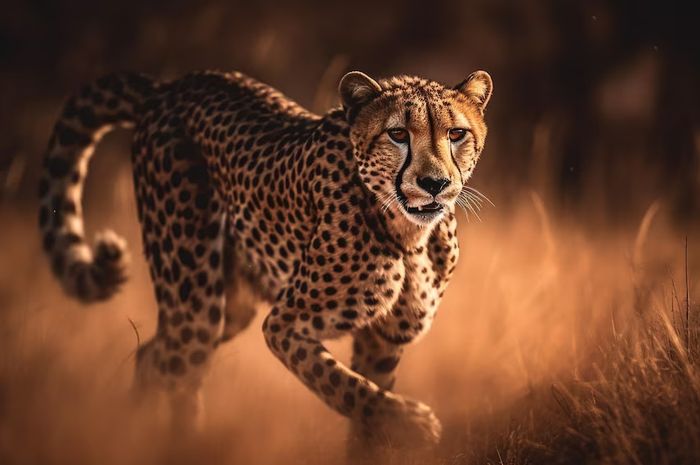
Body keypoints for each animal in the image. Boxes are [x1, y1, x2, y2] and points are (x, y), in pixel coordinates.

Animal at [37, 68, 492, 450]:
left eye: (456, 134)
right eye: (397, 134)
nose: (434, 183)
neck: (408, 234)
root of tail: (172, 85)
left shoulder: (383, 339)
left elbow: (365, 414)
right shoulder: (284, 325)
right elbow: (343, 387)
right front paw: (413, 423)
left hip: (229, 308)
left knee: (156, 356)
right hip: (195, 305)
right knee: (172, 366)